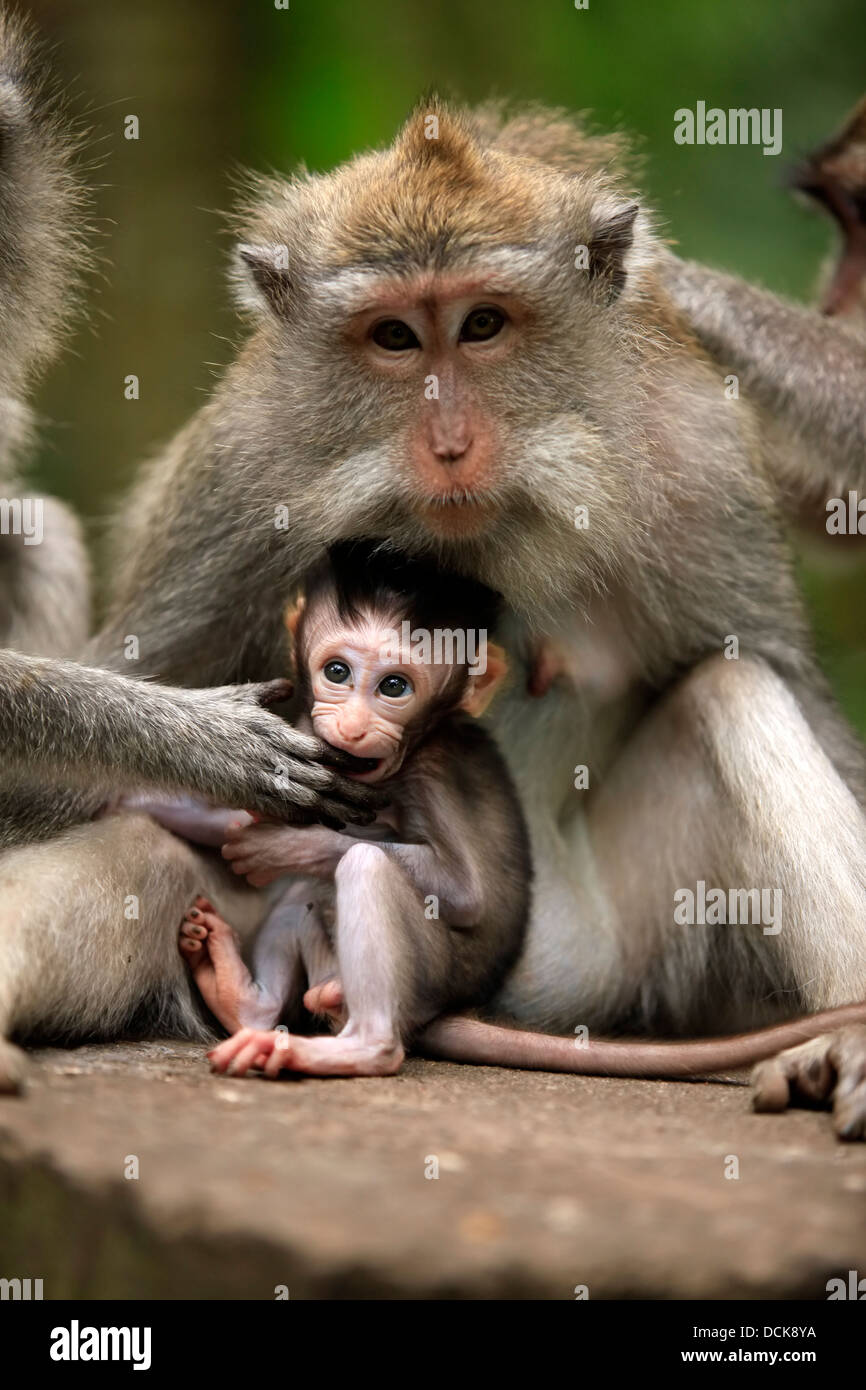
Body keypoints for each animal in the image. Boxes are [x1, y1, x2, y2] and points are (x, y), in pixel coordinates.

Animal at [1, 13, 865, 1135]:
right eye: (395, 336)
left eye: (483, 324)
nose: (450, 444)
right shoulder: (237, 479)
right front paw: (196, 742)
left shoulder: (696, 453)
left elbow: (778, 672)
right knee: (145, 849)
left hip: (597, 959)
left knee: (731, 692)